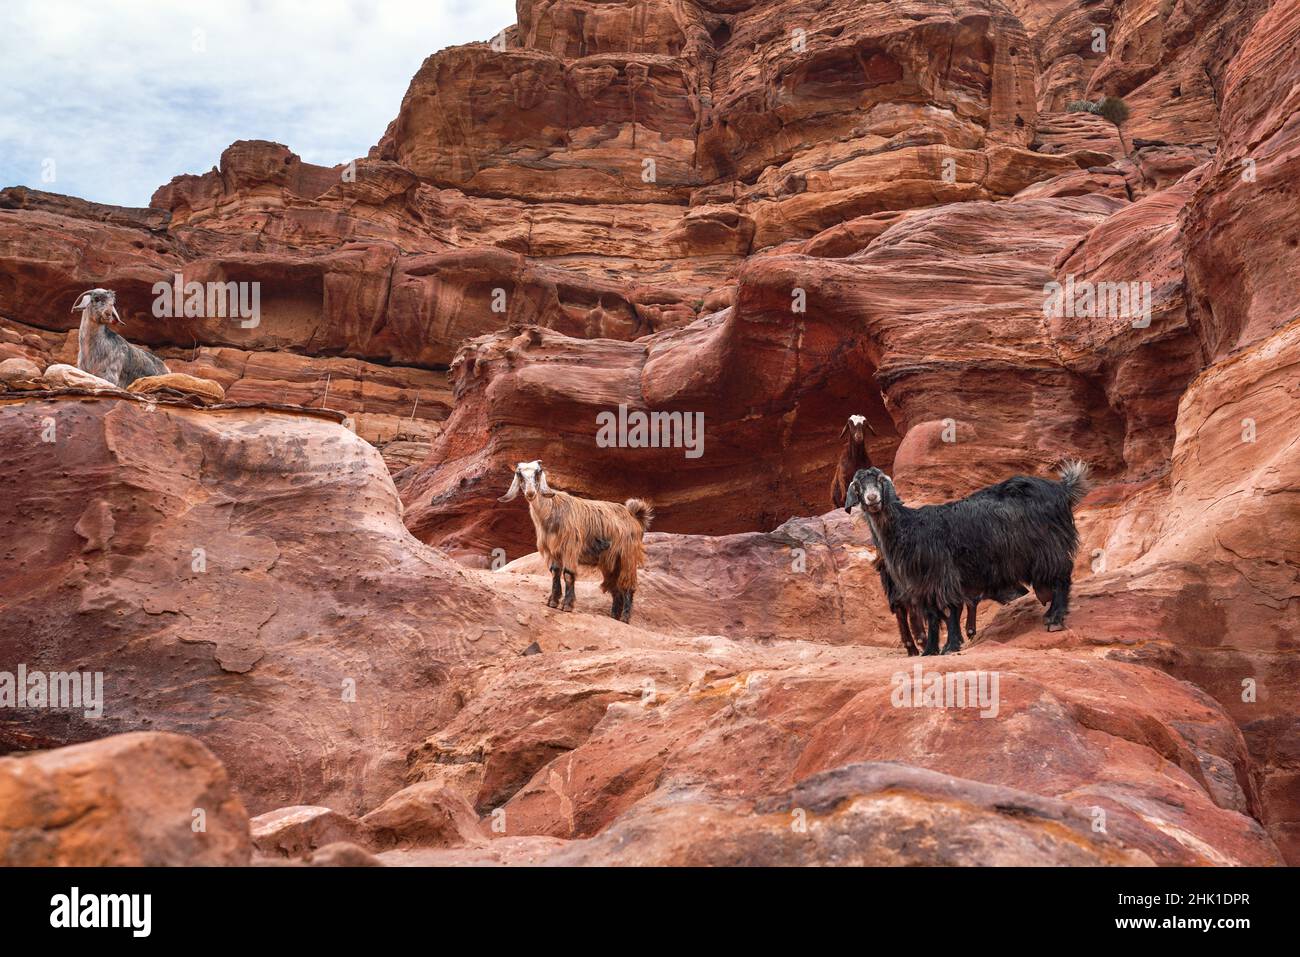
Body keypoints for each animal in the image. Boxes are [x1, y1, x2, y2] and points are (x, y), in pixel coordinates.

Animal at [499, 460, 653, 622]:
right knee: (615, 588)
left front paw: (567, 605)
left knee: (628, 585)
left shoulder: (570, 548)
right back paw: (614, 616)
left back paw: (624, 617)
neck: (551, 510)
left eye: (538, 472)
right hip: (610, 561)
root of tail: (635, 516)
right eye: (519, 474)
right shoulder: (553, 551)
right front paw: (553, 601)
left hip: (628, 557)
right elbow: (555, 572)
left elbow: (568, 575)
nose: (530, 493)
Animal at [846, 462, 1090, 655]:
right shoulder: (924, 585)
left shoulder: (944, 574)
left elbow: (951, 608)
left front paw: (950, 646)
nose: (872, 499)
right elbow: (932, 616)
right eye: (858, 485)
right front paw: (930, 650)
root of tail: (1062, 489)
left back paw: (1055, 619)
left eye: (880, 480)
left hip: (1049, 547)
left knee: (1061, 578)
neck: (909, 527)